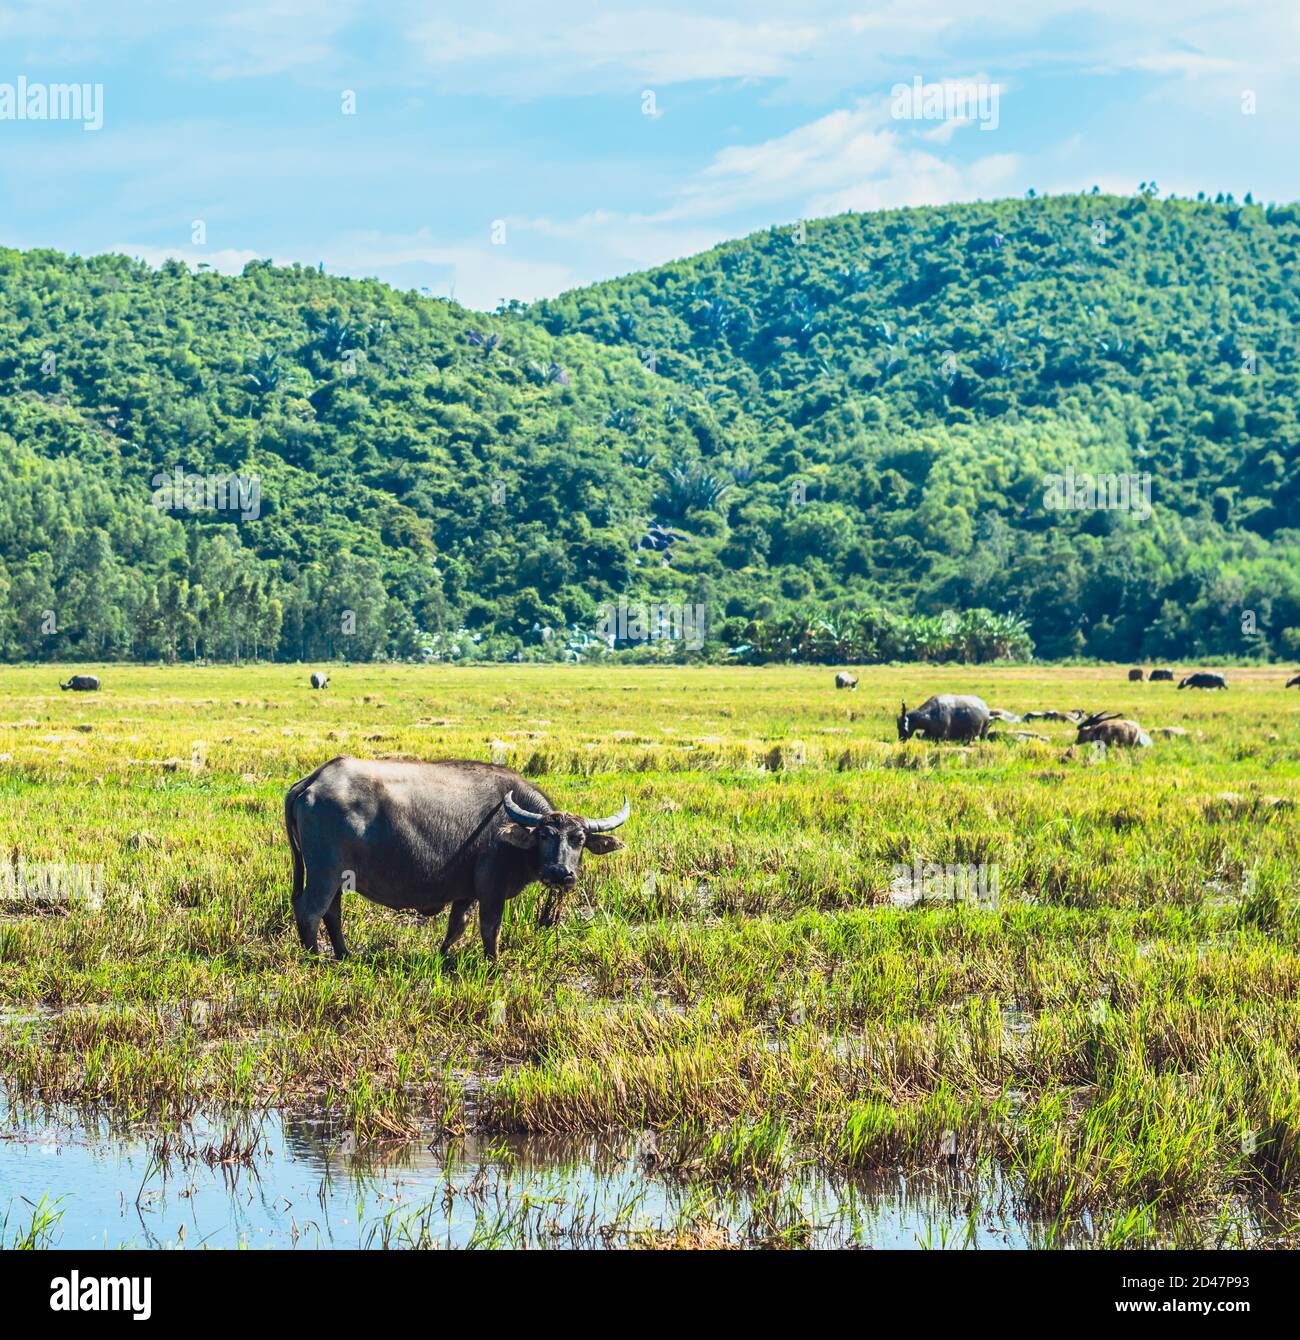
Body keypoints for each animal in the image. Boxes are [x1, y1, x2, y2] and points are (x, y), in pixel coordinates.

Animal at [284, 757, 629, 961]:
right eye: (544, 835)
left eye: (579, 839)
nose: (560, 873)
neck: (509, 827)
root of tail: (313, 780)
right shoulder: (491, 890)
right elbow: (490, 928)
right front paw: (493, 963)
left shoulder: (465, 893)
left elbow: (457, 927)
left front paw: (443, 956)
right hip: (324, 874)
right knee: (311, 912)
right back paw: (315, 958)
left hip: (338, 878)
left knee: (332, 913)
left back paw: (344, 954)